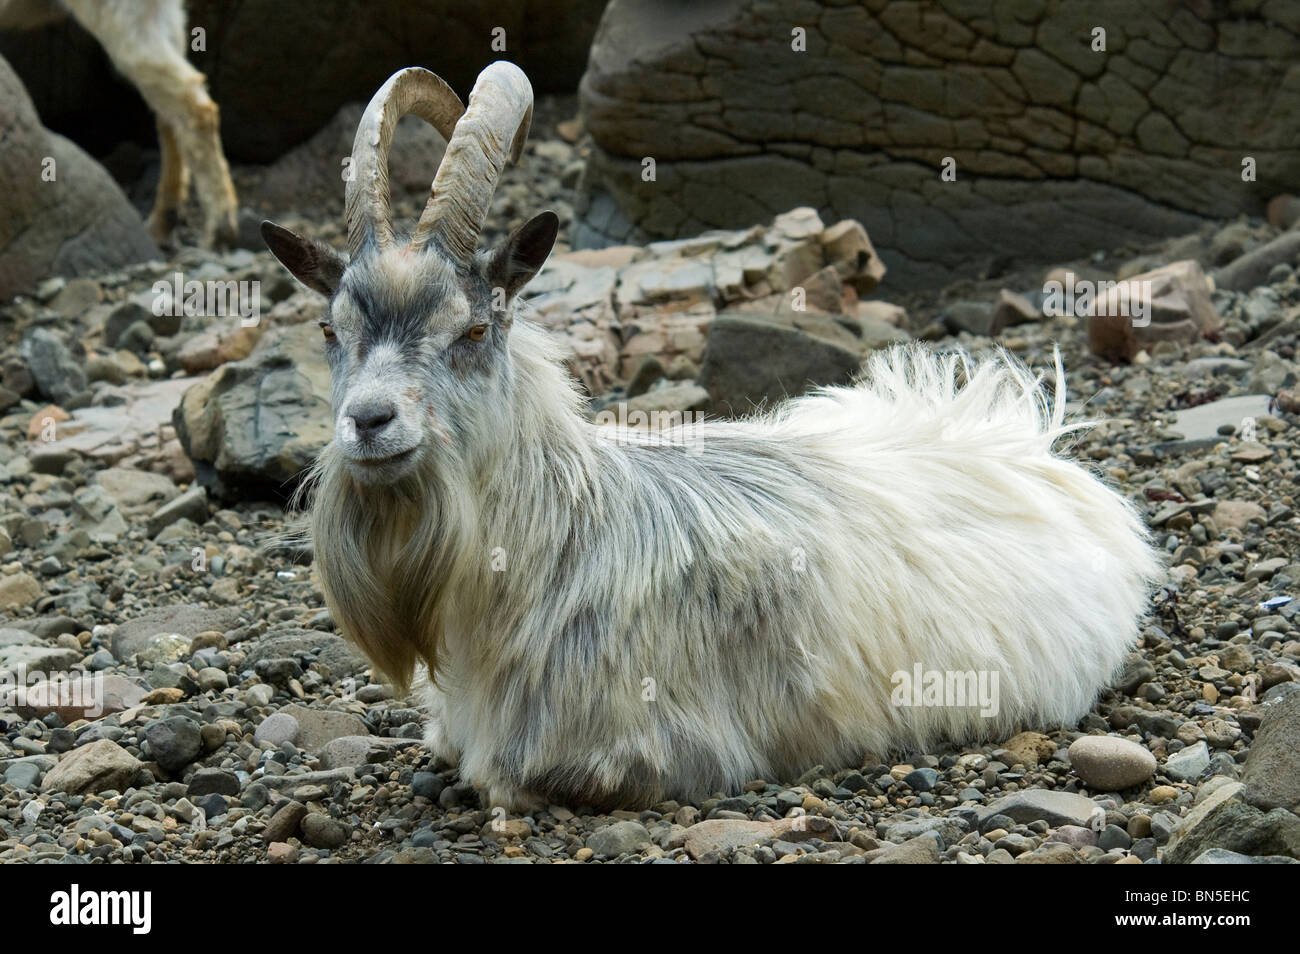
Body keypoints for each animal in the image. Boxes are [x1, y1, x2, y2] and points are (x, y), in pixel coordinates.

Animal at [262, 62, 1162, 812]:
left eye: (475, 329)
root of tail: (1030, 440)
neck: (555, 541)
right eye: (330, 329)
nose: (369, 422)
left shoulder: (627, 758)